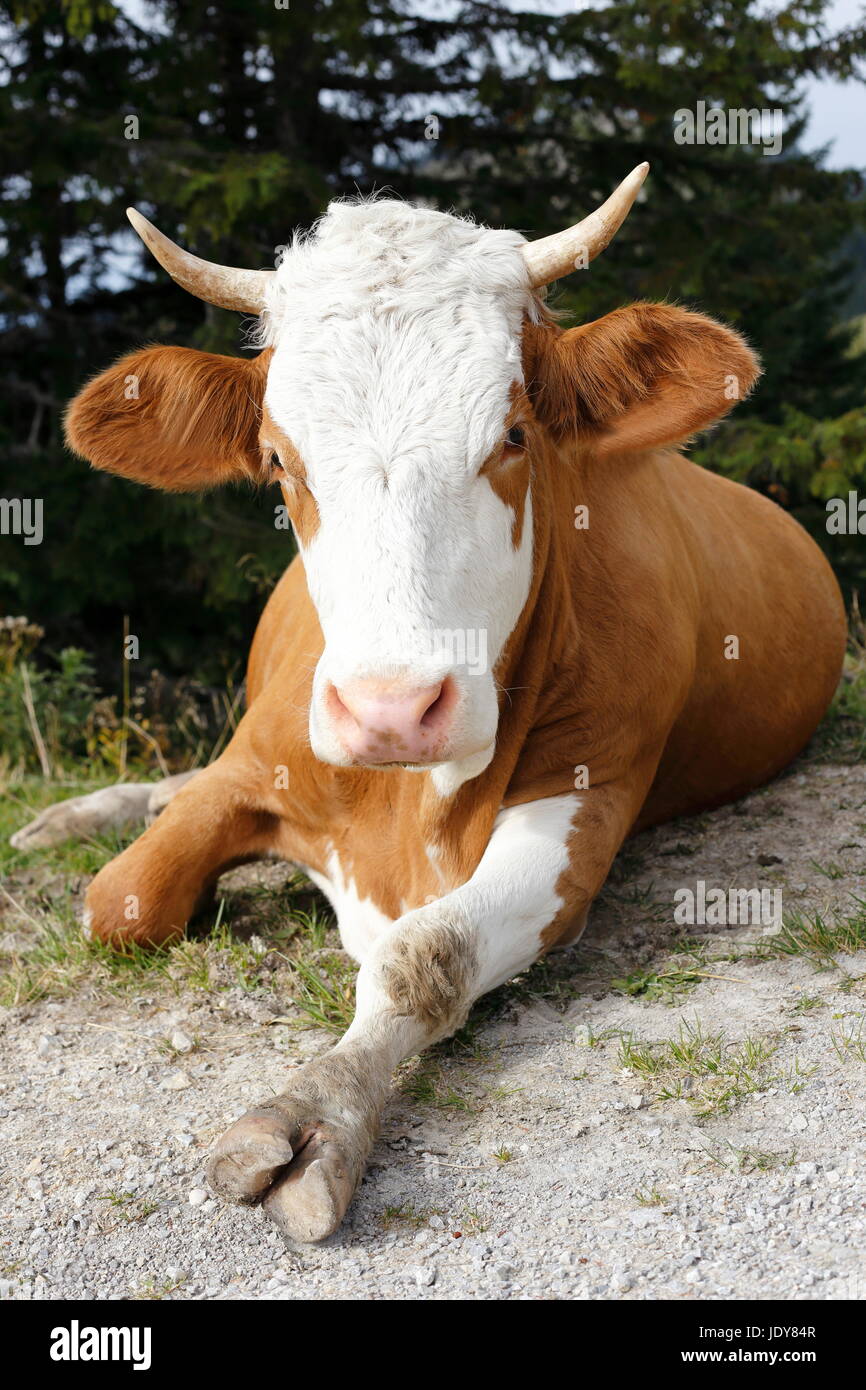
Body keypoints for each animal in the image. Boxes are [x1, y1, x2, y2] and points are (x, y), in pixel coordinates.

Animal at [14, 164, 846, 1242]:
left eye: (514, 434)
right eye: (278, 458)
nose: (389, 710)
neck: (401, 810)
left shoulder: (585, 806)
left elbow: (422, 957)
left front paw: (316, 1114)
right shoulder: (254, 761)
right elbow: (122, 900)